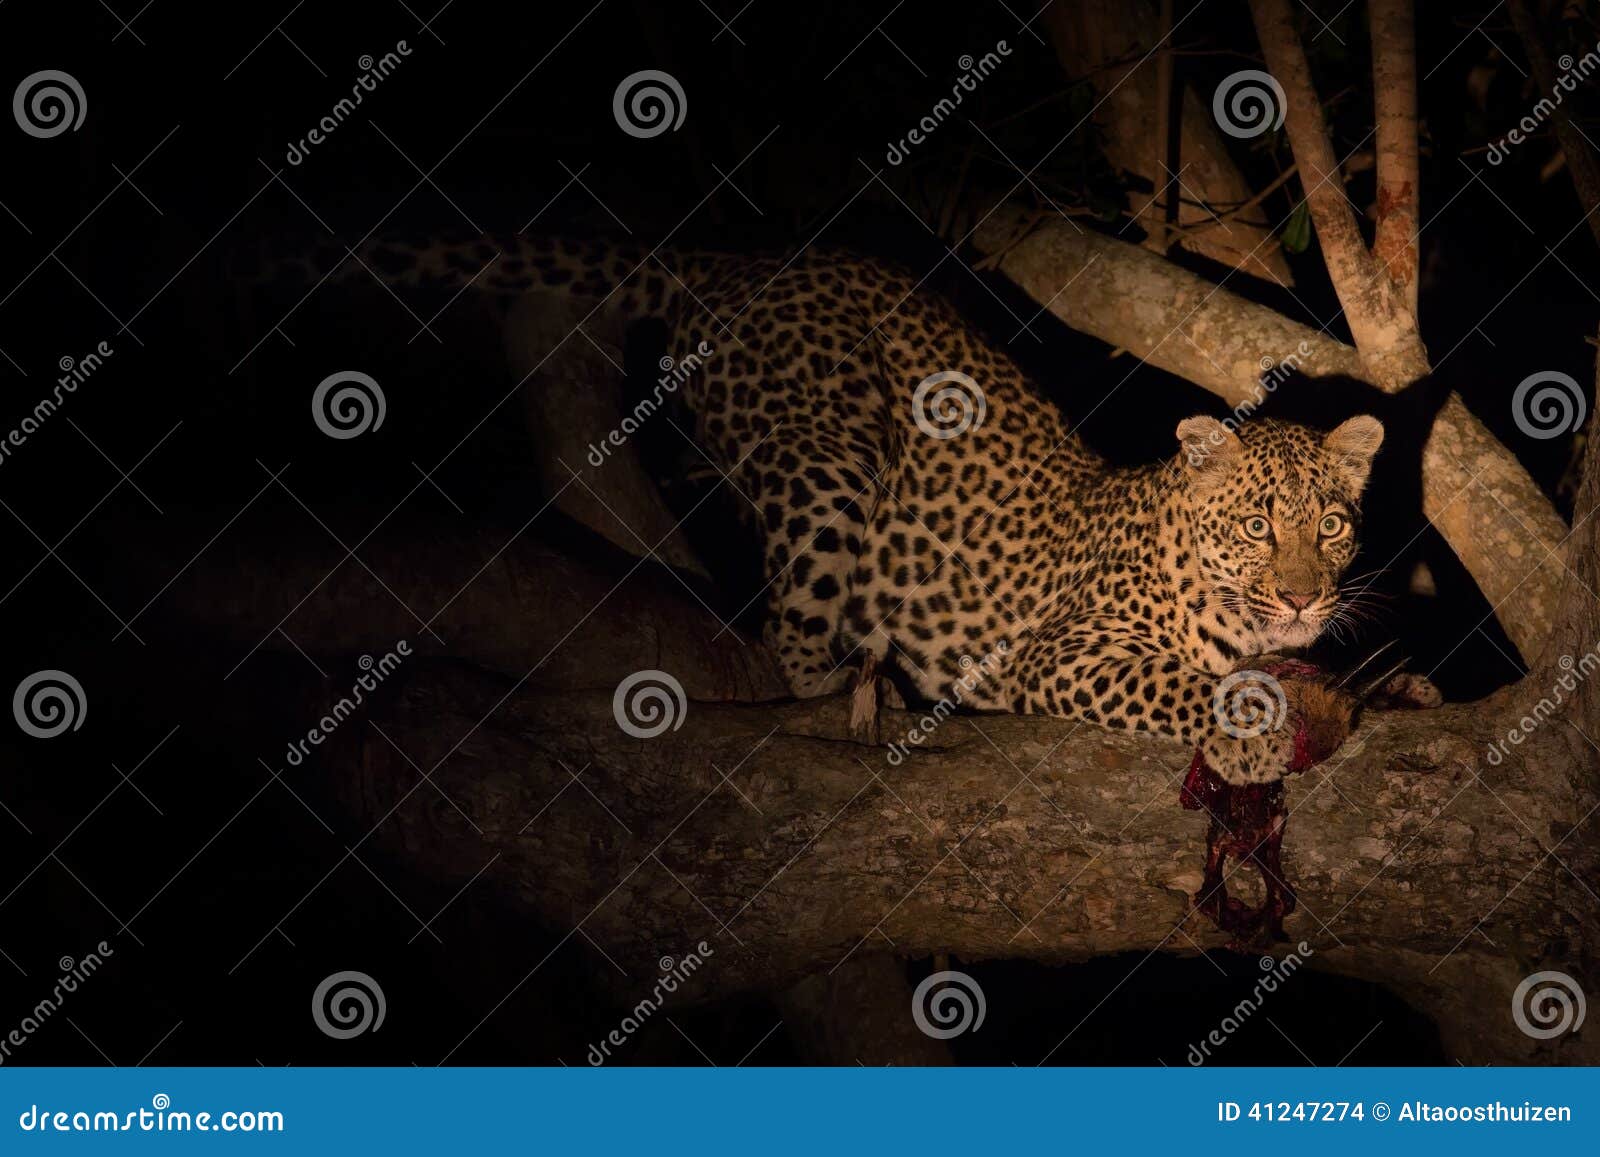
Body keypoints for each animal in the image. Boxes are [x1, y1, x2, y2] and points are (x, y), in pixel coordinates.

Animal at [264, 233, 1397, 785]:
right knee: (792, 642)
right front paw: (1250, 729)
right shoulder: (1063, 653)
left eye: (1332, 524)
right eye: (1255, 525)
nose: (1304, 599)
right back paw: (861, 688)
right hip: (826, 470)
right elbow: (1192, 683)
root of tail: (744, 263)